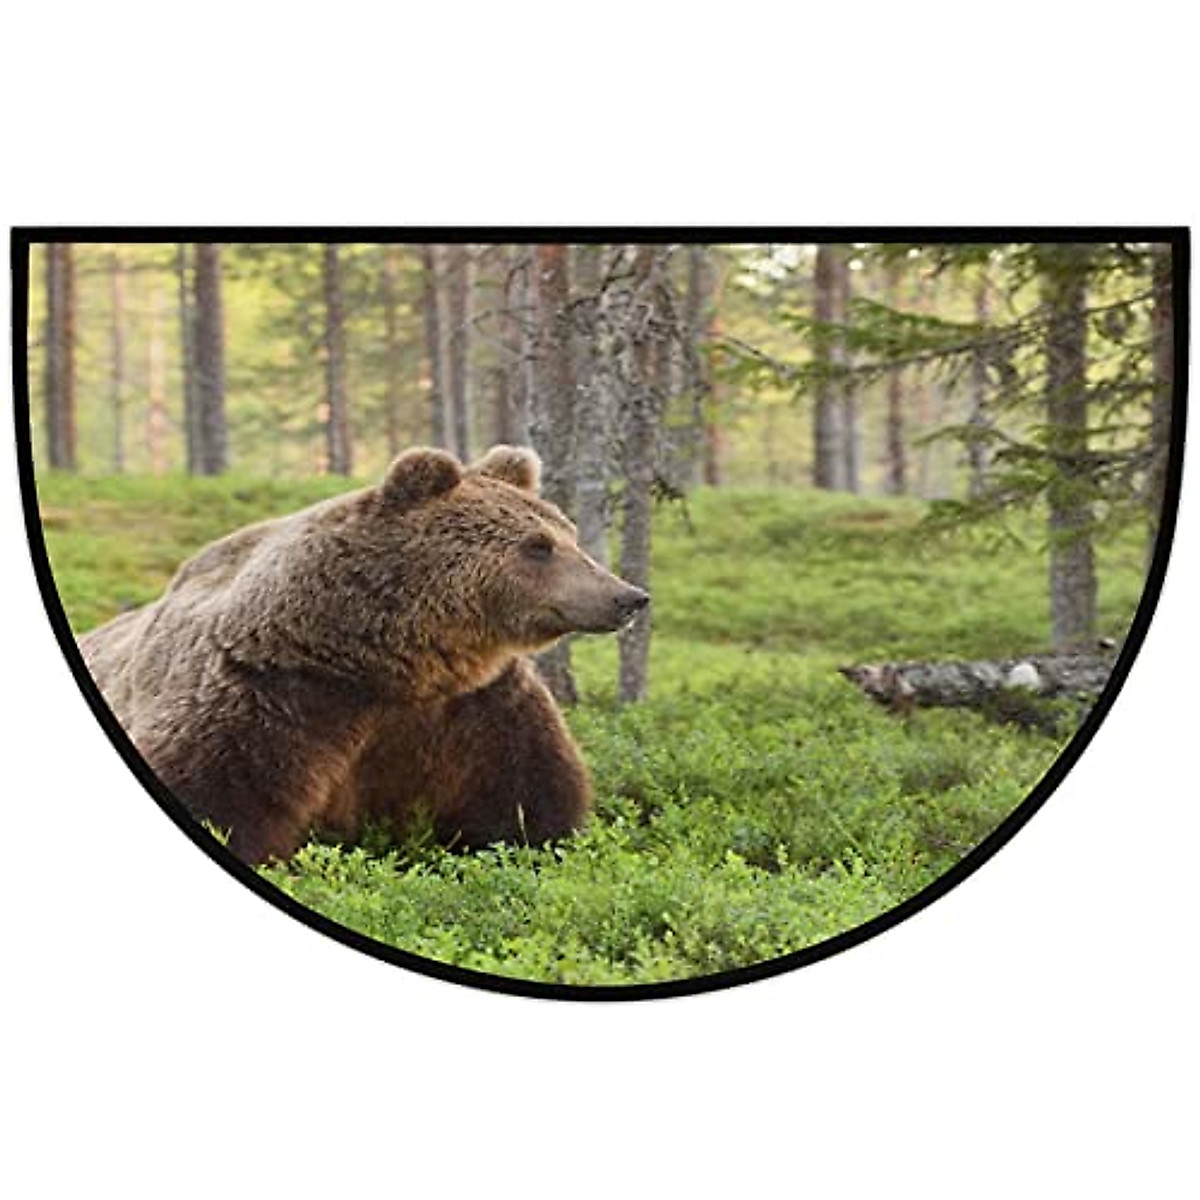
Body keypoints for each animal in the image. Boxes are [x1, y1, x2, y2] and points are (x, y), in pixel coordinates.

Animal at [79, 445, 649, 865]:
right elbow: (215, 793)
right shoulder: (270, 696)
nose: (628, 596)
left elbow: (527, 797)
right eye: (537, 546)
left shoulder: (478, 705)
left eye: (569, 534)